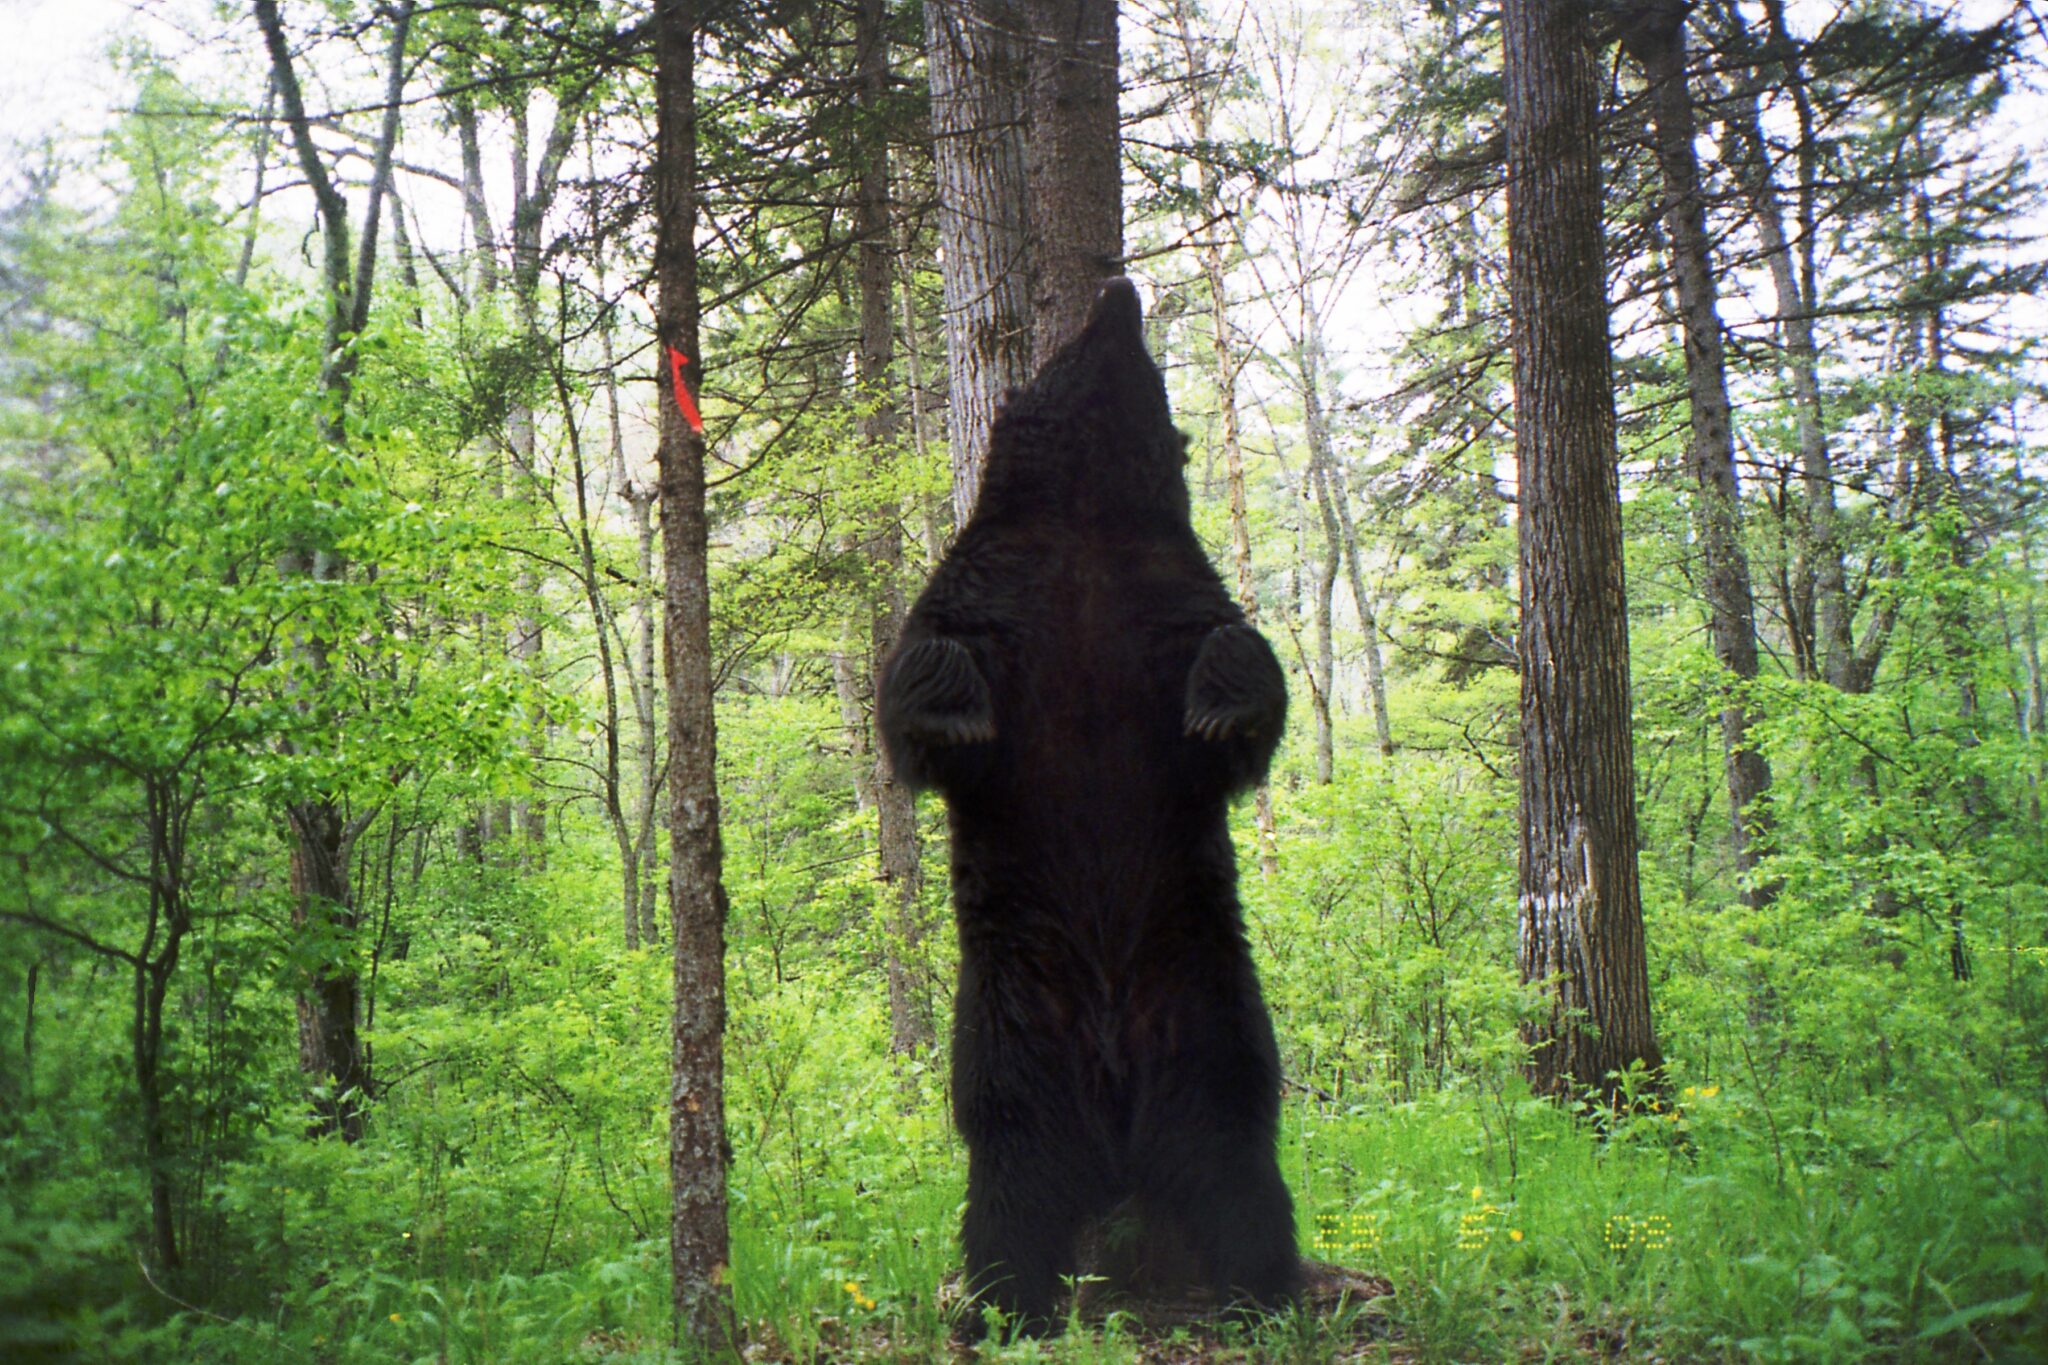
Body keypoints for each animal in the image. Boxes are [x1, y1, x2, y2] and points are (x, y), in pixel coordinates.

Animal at [877, 278, 1298, 1338]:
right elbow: (917, 678)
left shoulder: (1166, 595)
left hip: (1210, 1008)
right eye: (1066, 346)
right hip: (1008, 1033)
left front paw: (1222, 693)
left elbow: (1239, 664)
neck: (1085, 519)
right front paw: (952, 701)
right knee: (1009, 1175)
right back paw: (1000, 1304)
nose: (1119, 287)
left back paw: (1265, 1289)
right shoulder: (993, 588)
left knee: (1238, 1154)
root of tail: (1115, 1110)